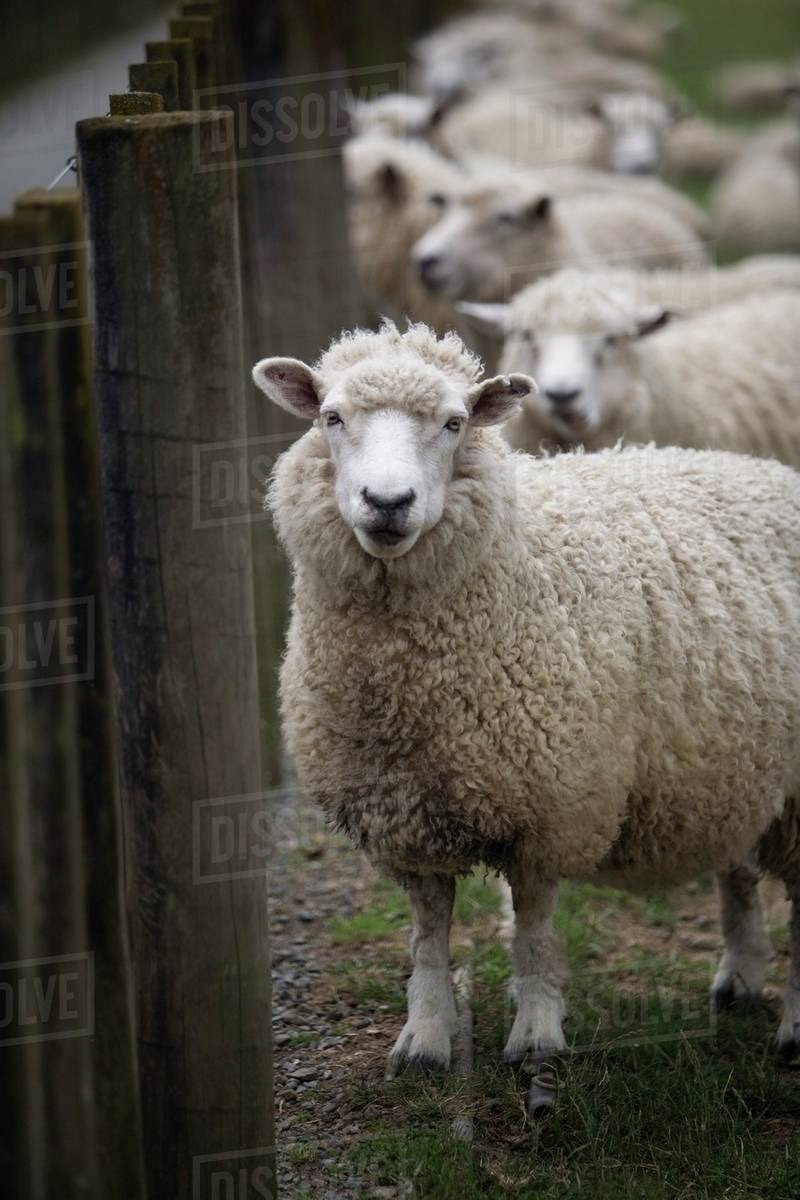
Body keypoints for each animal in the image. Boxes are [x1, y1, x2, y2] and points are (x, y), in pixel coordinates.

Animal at [254, 320, 800, 1078]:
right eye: (331, 418)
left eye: (454, 423)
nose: (387, 504)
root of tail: (771, 471)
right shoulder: (405, 814)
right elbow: (428, 935)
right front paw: (424, 1038)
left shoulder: (553, 805)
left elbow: (536, 928)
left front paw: (537, 1034)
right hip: (736, 762)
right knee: (739, 866)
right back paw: (740, 978)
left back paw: (794, 1027)